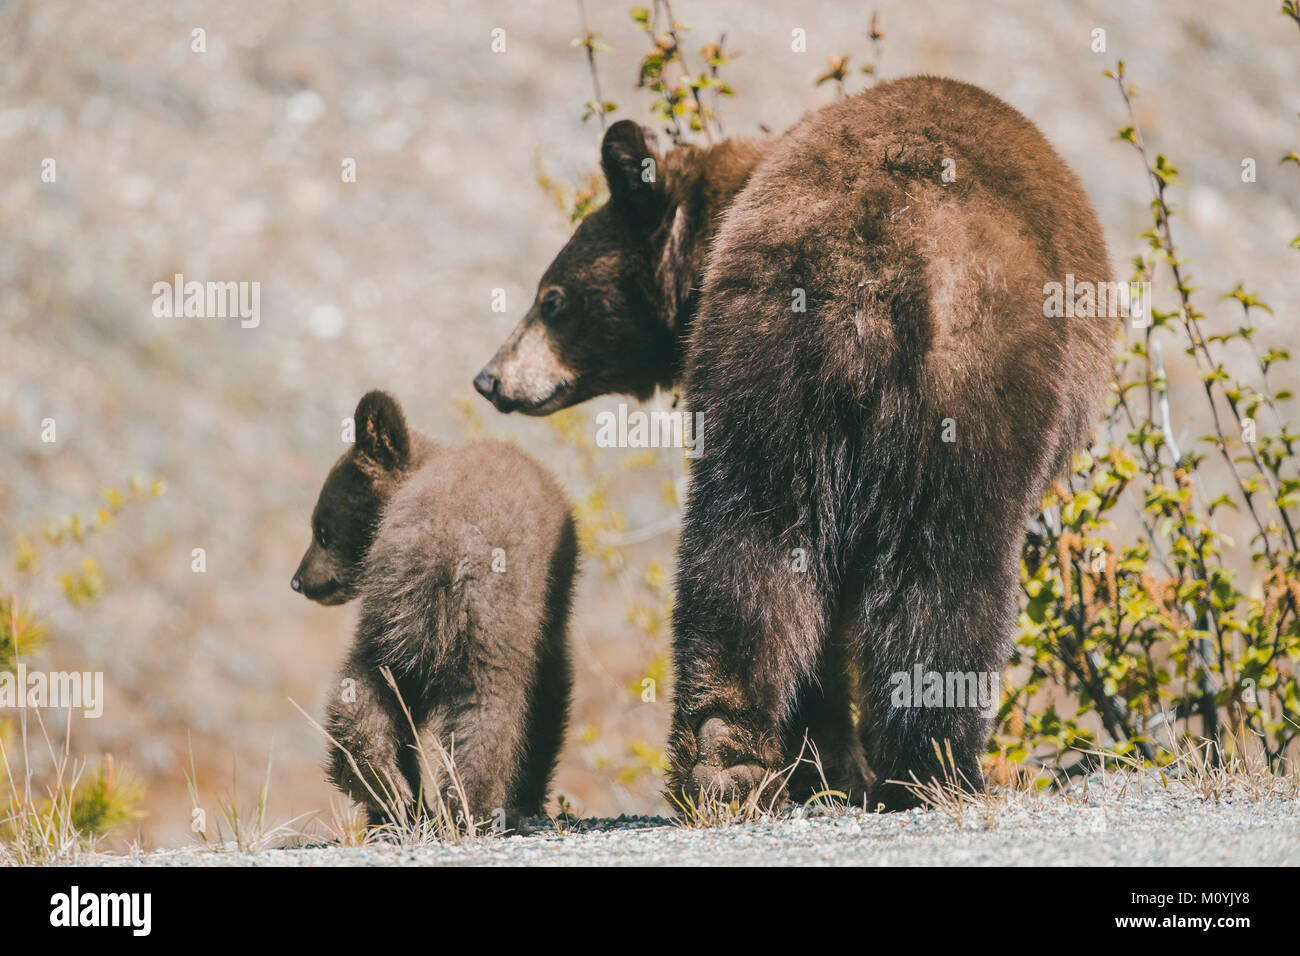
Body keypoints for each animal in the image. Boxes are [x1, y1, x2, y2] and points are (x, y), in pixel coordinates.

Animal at [291, 390, 578, 828]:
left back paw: (385, 789)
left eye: (322, 531)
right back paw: (473, 809)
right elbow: (550, 685)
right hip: (488, 622)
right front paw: (529, 796)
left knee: (363, 688)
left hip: (388, 619)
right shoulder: (552, 600)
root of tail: (434, 549)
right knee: (487, 707)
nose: (299, 581)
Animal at [474, 76, 1113, 809]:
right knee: (948, 564)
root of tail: (870, 260)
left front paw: (821, 766)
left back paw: (726, 761)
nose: (489, 378)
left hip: (764, 366)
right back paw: (931, 768)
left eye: (551, 299)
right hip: (968, 381)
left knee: (747, 551)